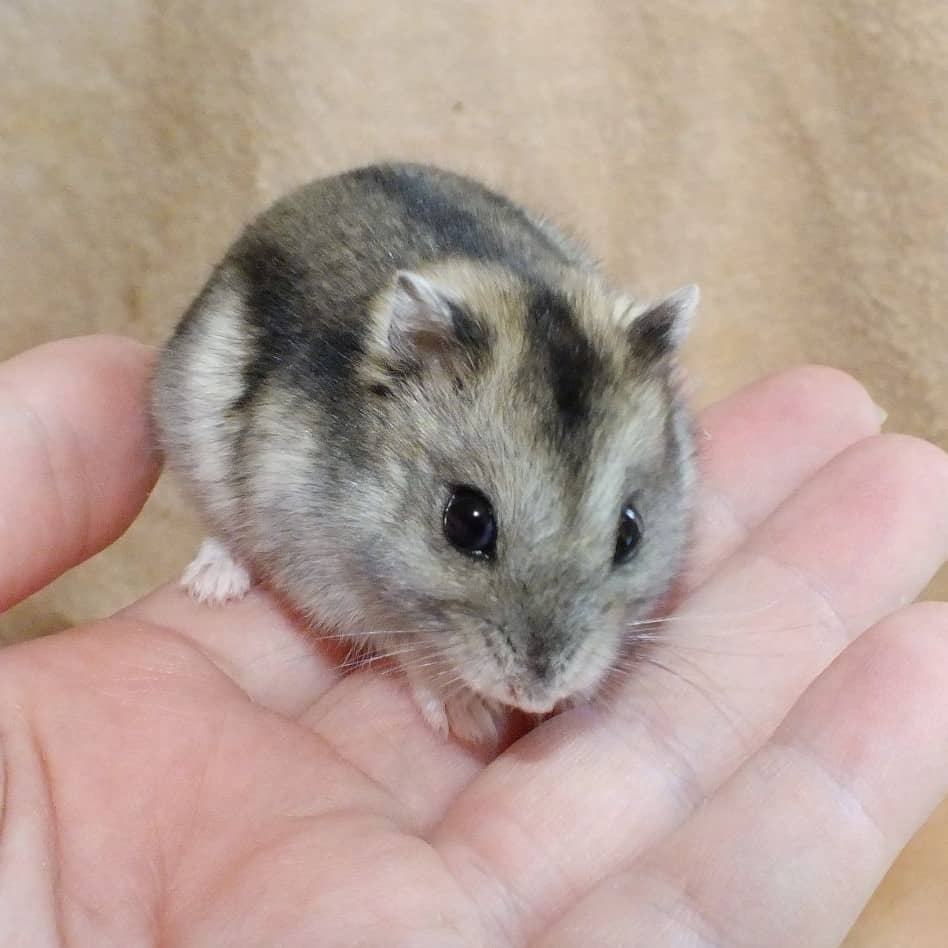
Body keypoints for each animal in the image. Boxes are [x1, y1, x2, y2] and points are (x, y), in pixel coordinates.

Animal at [151, 162, 699, 744]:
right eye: (467, 521)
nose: (537, 694)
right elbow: (409, 645)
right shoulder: (327, 581)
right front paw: (470, 720)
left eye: (630, 533)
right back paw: (212, 586)